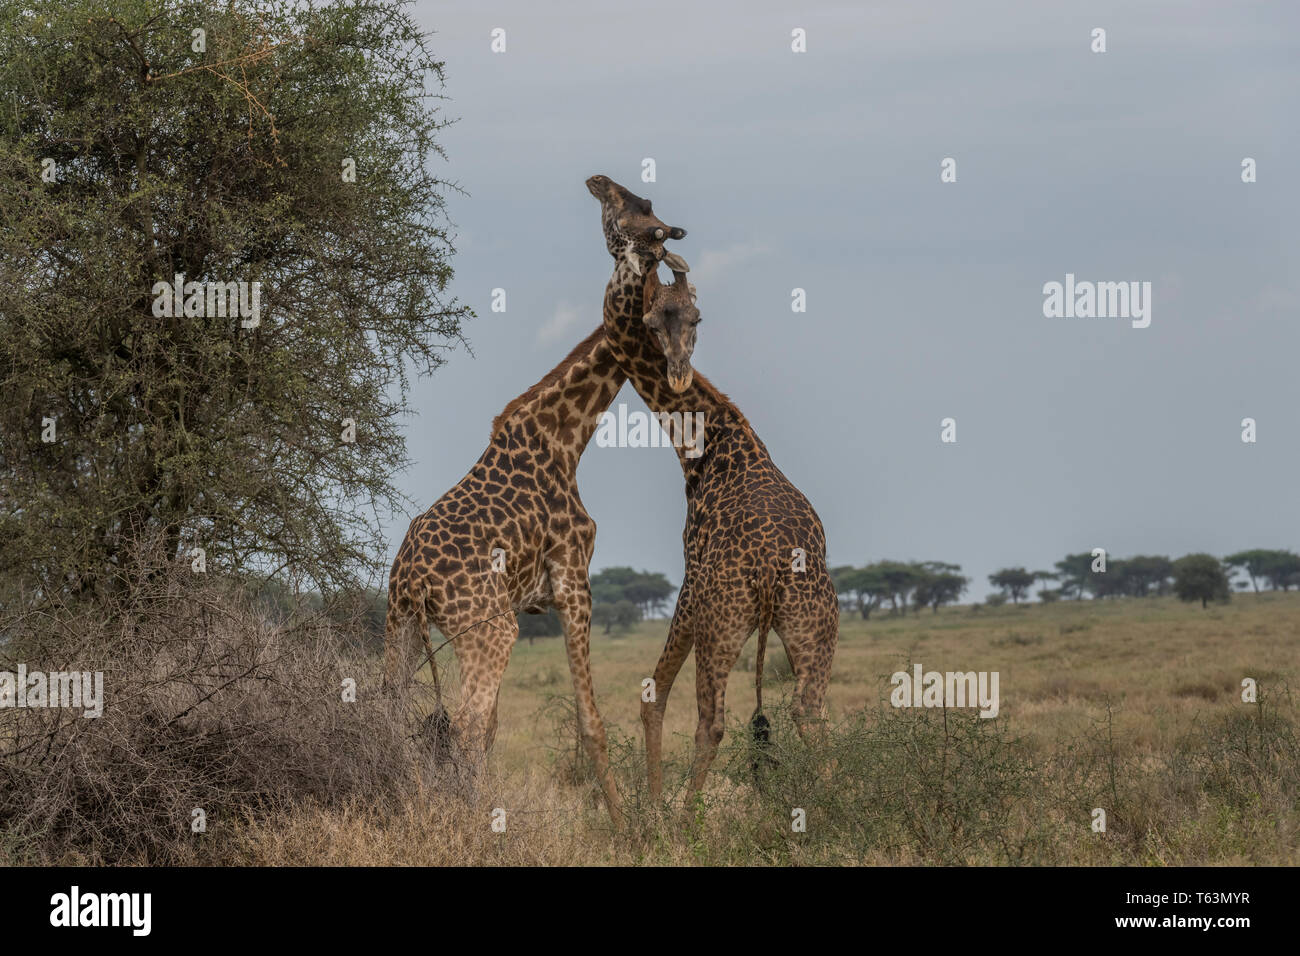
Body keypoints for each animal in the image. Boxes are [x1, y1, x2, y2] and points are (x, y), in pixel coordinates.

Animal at [383, 191, 689, 824]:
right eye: (661, 316)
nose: (676, 371)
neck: (565, 436)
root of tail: (415, 577)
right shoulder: (572, 579)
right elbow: (589, 724)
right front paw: (624, 825)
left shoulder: (533, 601)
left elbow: (503, 727)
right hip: (490, 628)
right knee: (464, 725)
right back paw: (470, 820)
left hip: (402, 621)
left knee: (392, 712)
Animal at [586, 175, 840, 802]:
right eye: (659, 321)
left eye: (696, 319)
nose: (597, 180)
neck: (708, 445)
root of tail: (772, 573)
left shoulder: (689, 584)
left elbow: (653, 695)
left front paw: (655, 810)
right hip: (814, 621)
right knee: (810, 713)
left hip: (724, 619)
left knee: (714, 721)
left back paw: (686, 816)